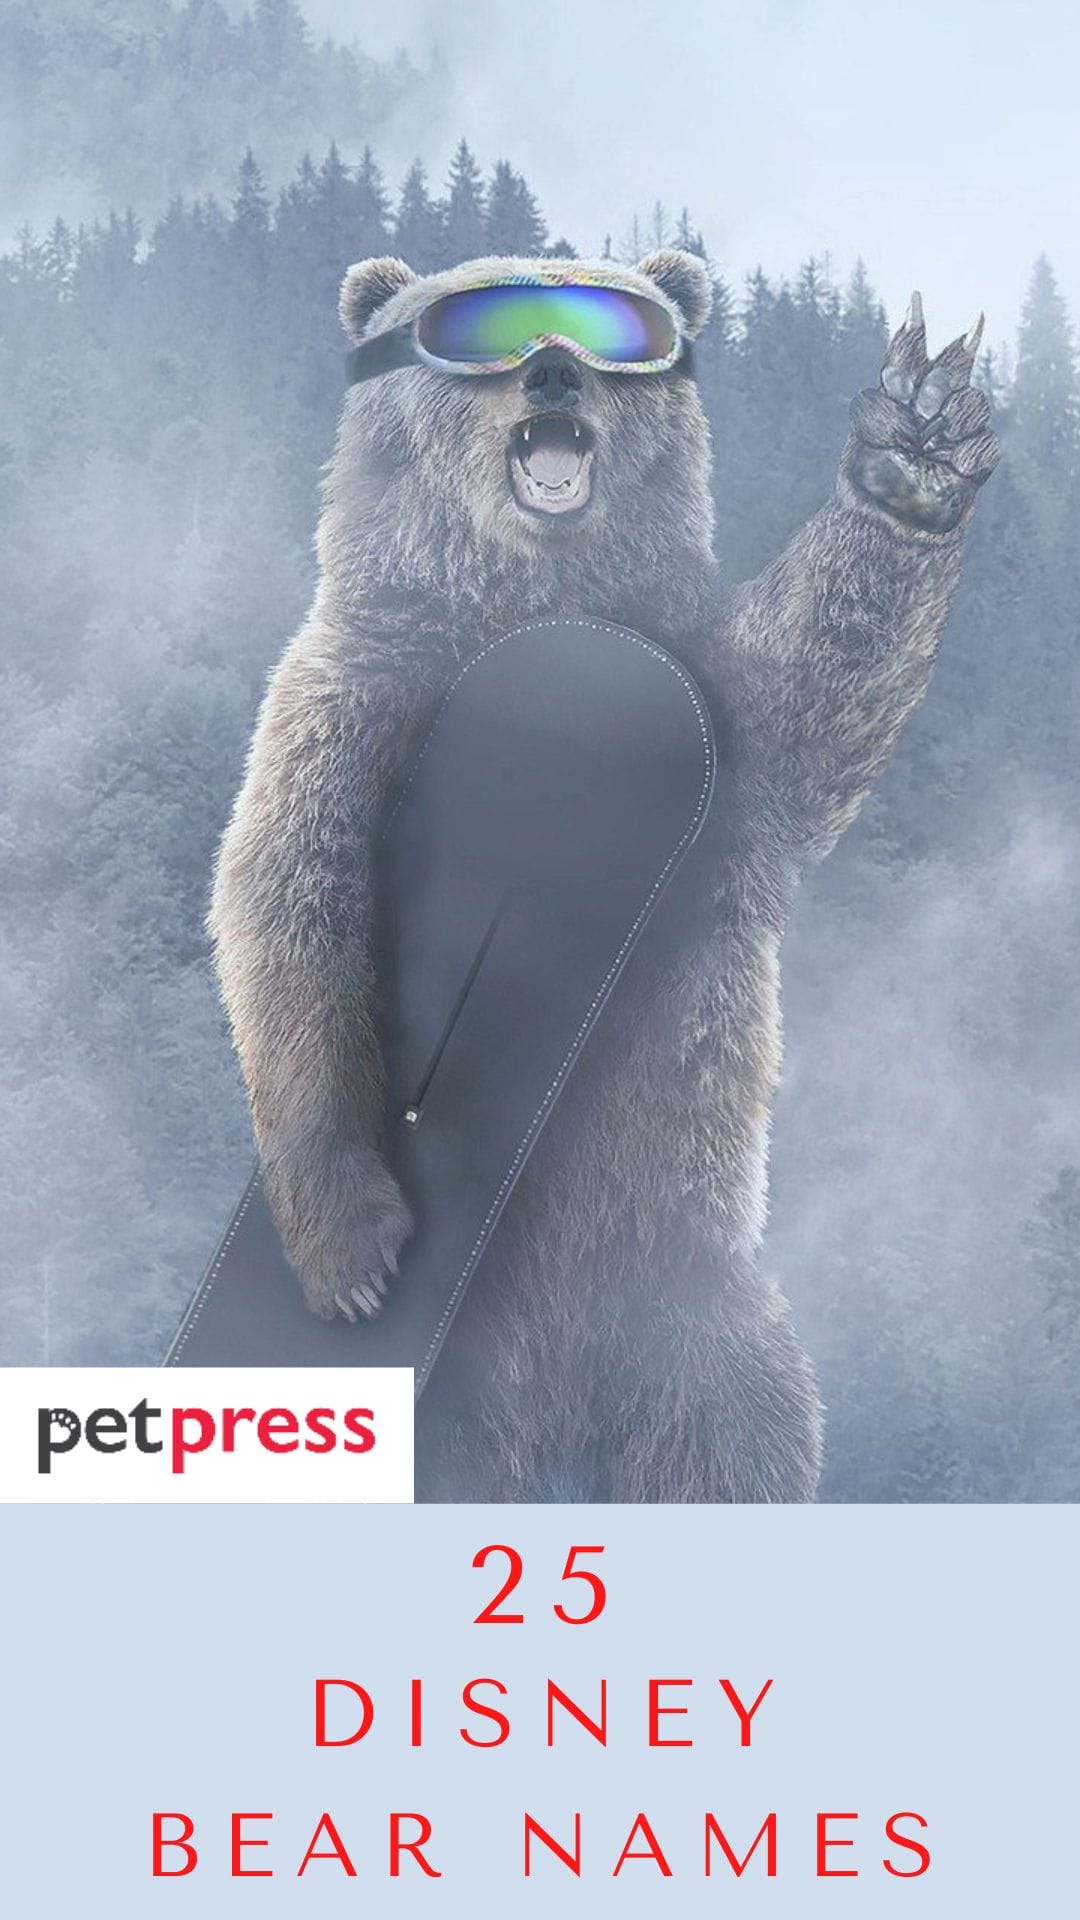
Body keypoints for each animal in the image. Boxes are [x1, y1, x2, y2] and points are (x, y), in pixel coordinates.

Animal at [209, 249, 999, 1502]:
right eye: (468, 324)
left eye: (620, 323)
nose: (553, 368)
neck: (537, 620)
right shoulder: (344, 704)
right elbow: (289, 908)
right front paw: (352, 1259)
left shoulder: (708, 707)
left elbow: (811, 688)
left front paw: (918, 440)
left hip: (694, 1327)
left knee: (732, 1447)